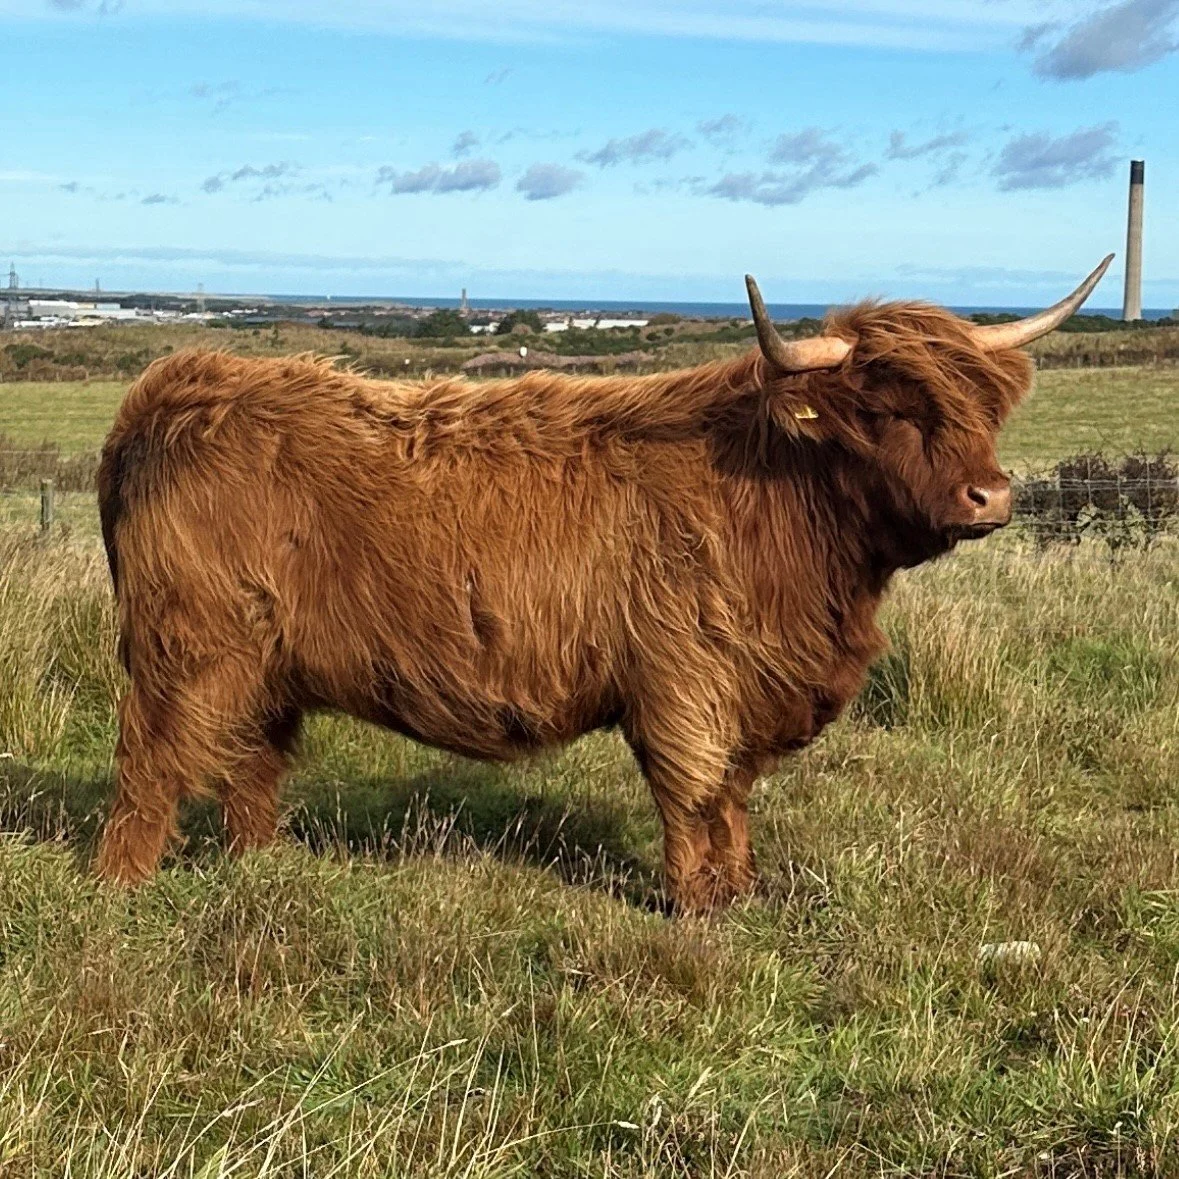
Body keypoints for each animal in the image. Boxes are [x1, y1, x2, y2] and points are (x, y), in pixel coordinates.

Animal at [94, 256, 1112, 912]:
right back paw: (123, 885)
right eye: (888, 409)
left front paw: (739, 892)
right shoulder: (684, 679)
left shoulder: (749, 683)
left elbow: (733, 795)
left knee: (252, 760)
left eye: (983, 405)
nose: (991, 495)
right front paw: (695, 906)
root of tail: (179, 384)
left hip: (267, 660)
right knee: (154, 759)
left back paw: (259, 864)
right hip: (186, 644)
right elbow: (692, 792)